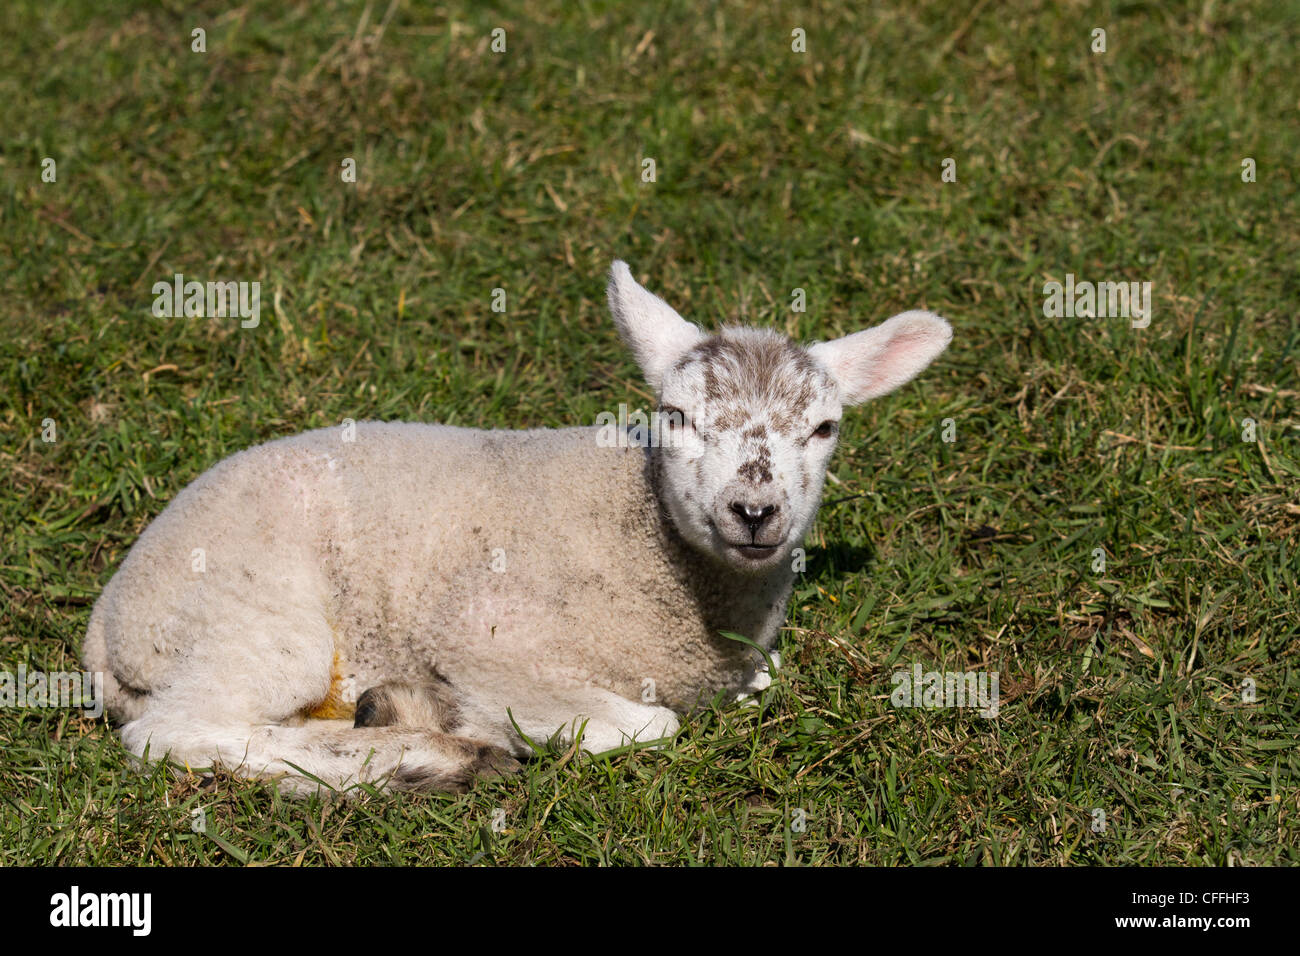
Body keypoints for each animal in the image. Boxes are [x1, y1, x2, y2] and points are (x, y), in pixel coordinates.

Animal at [82, 260, 952, 795]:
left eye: (826, 428)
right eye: (675, 416)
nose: (755, 512)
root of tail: (106, 626)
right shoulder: (482, 633)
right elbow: (650, 724)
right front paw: (483, 720)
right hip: (246, 614)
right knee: (175, 734)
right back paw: (426, 753)